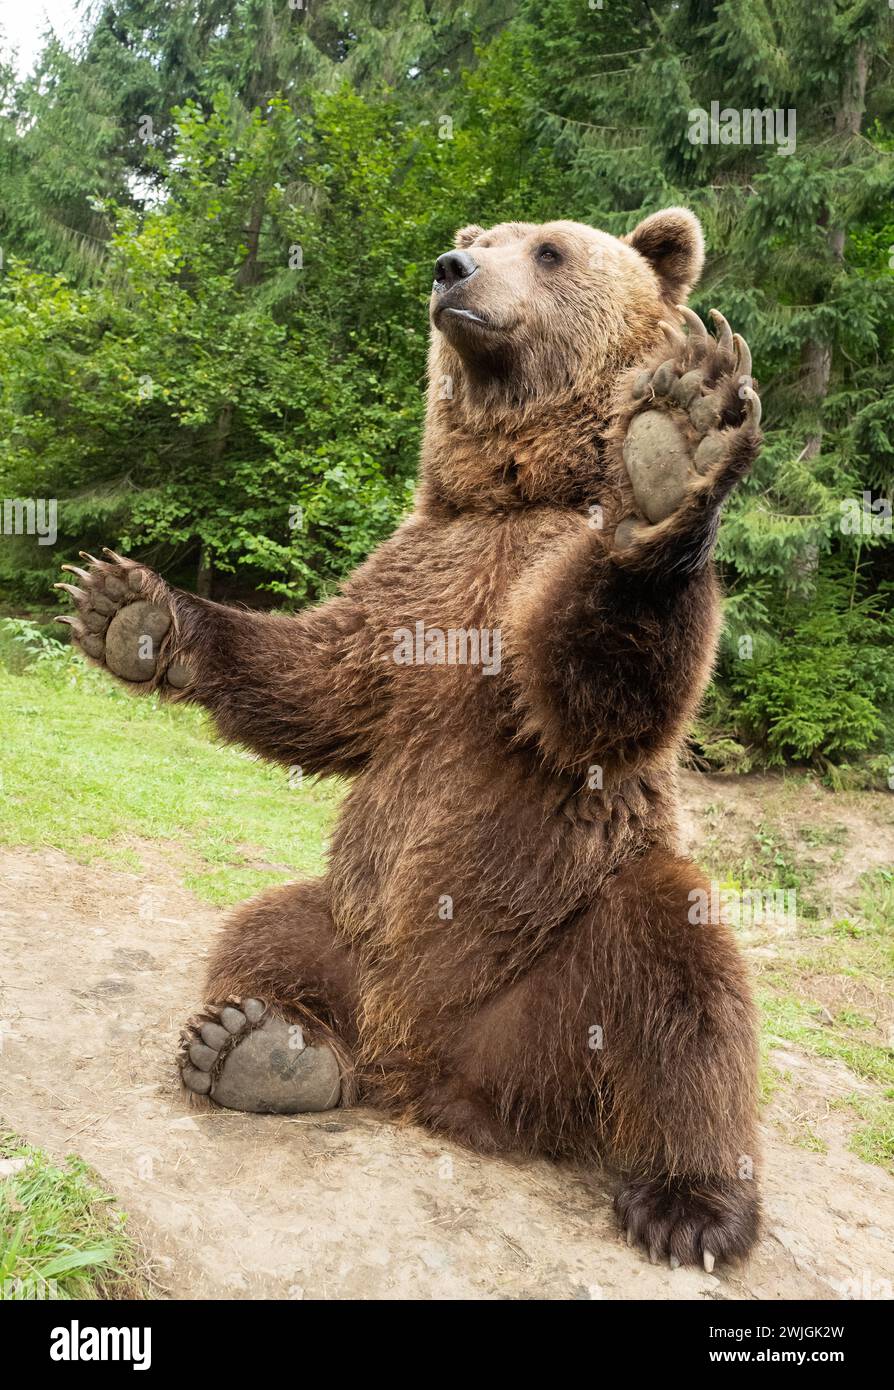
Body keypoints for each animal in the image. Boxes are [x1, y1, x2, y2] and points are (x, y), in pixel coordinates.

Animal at [57, 207, 763, 1270]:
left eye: (550, 249)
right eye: (481, 235)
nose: (451, 268)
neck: (513, 492)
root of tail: (431, 1073)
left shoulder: (528, 593)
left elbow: (597, 697)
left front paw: (673, 443)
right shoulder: (417, 576)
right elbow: (322, 681)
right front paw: (131, 612)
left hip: (566, 962)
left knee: (687, 980)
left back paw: (691, 1205)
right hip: (355, 932)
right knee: (265, 927)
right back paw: (260, 1048)